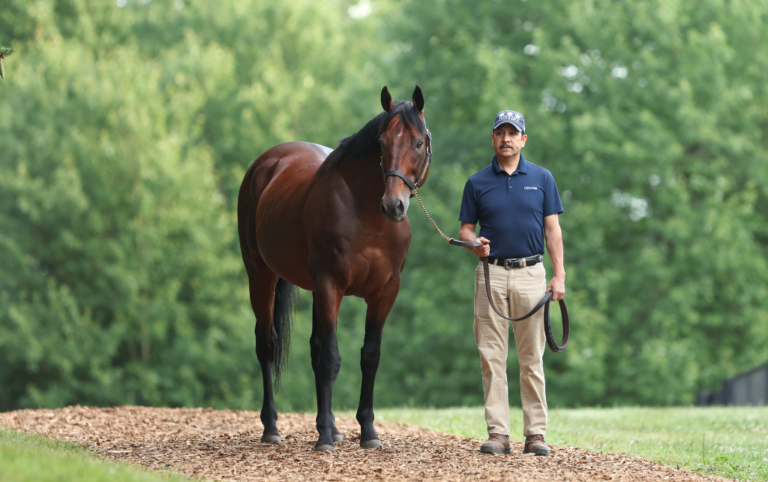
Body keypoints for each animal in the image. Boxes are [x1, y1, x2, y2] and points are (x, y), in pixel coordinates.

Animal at [237, 86, 432, 452]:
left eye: (418, 142)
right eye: (381, 142)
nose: (394, 205)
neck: (367, 216)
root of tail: (267, 162)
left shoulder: (385, 292)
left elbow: (369, 356)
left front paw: (367, 432)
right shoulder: (330, 285)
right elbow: (330, 358)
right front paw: (325, 437)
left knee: (313, 348)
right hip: (261, 276)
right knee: (266, 345)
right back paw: (272, 427)